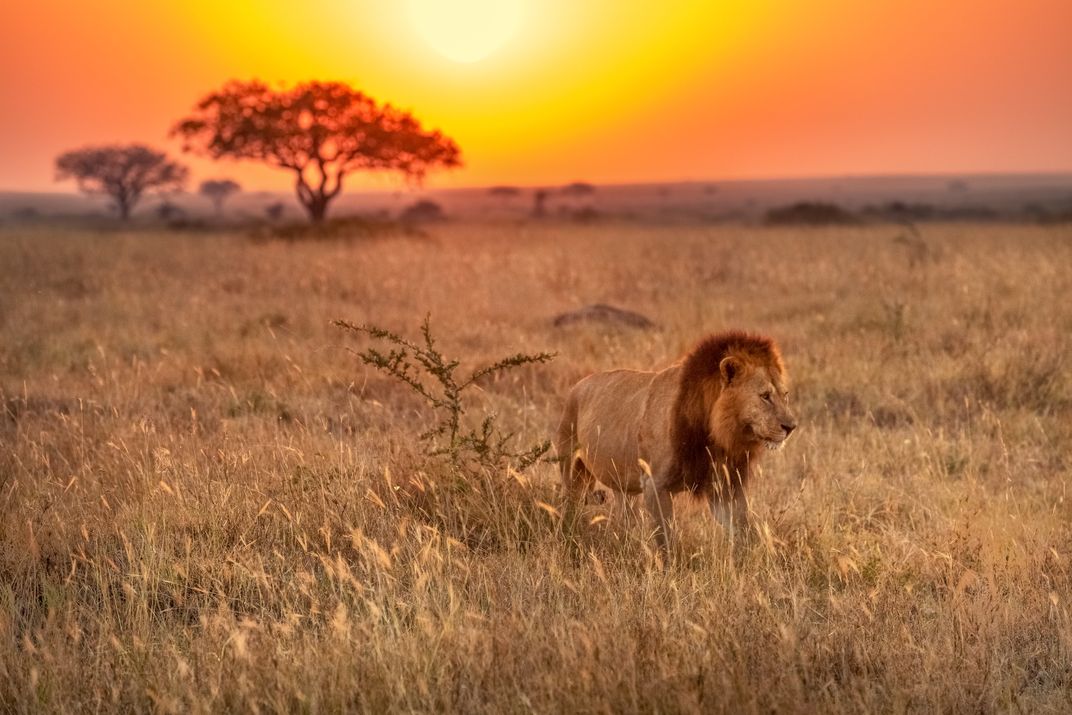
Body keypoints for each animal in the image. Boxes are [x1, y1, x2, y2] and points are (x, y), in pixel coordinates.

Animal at [556, 331, 797, 550]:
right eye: (765, 396)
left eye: (785, 395)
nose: (791, 427)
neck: (716, 435)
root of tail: (578, 385)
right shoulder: (654, 485)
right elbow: (667, 541)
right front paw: (671, 568)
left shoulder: (724, 487)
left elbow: (743, 530)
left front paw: (749, 560)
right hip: (572, 471)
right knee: (570, 506)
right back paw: (568, 536)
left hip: (622, 485)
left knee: (624, 518)